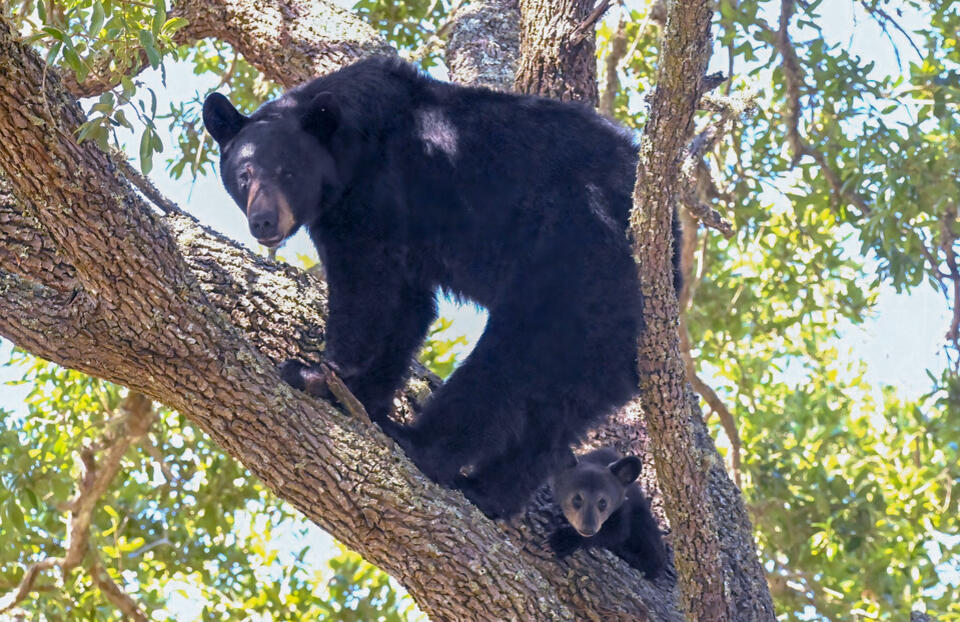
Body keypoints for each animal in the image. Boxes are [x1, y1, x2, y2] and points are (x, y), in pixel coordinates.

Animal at [202, 56, 681, 519]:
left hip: (576, 276)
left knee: (506, 369)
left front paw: (317, 375)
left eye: (289, 172)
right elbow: (405, 308)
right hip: (605, 341)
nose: (264, 221)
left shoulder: (379, 193)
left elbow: (367, 288)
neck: (353, 144)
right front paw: (363, 395)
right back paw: (489, 492)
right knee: (556, 413)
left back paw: (420, 445)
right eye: (244, 173)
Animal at [549, 447, 670, 579]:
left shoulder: (623, 509)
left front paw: (564, 540)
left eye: (603, 503)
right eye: (577, 499)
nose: (588, 529)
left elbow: (616, 532)